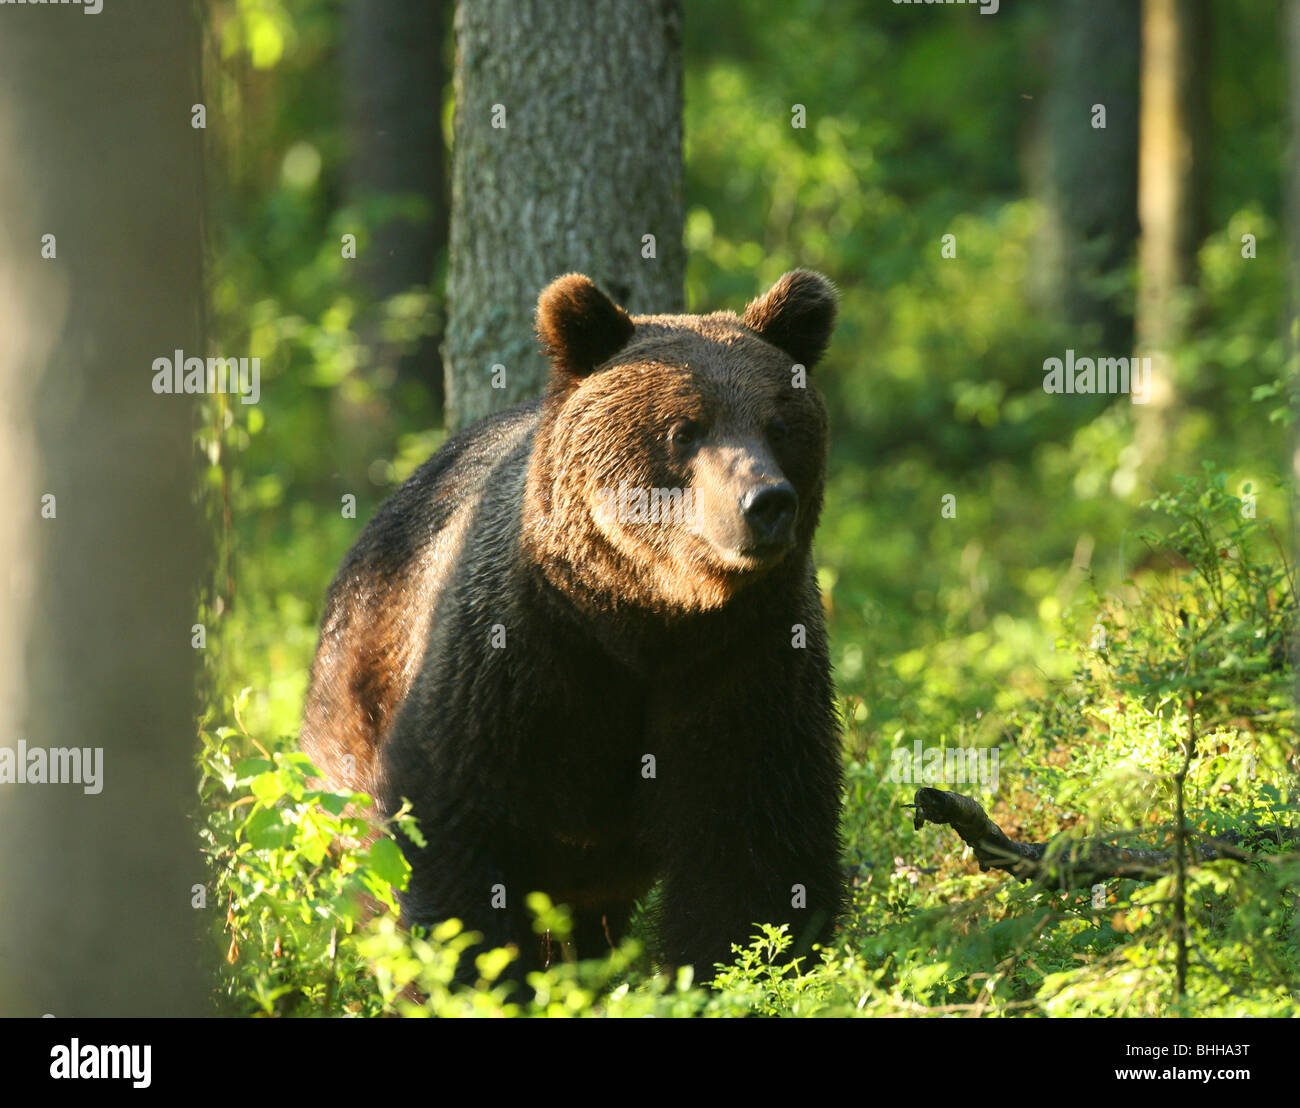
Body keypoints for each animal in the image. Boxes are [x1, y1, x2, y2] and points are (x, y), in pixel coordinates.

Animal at [300, 270, 845, 984]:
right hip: (353, 695)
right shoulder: (517, 654)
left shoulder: (747, 660)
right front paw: (474, 975)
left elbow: (755, 844)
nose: (766, 502)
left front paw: (743, 969)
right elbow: (451, 824)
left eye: (779, 426)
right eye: (685, 429)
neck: (648, 618)